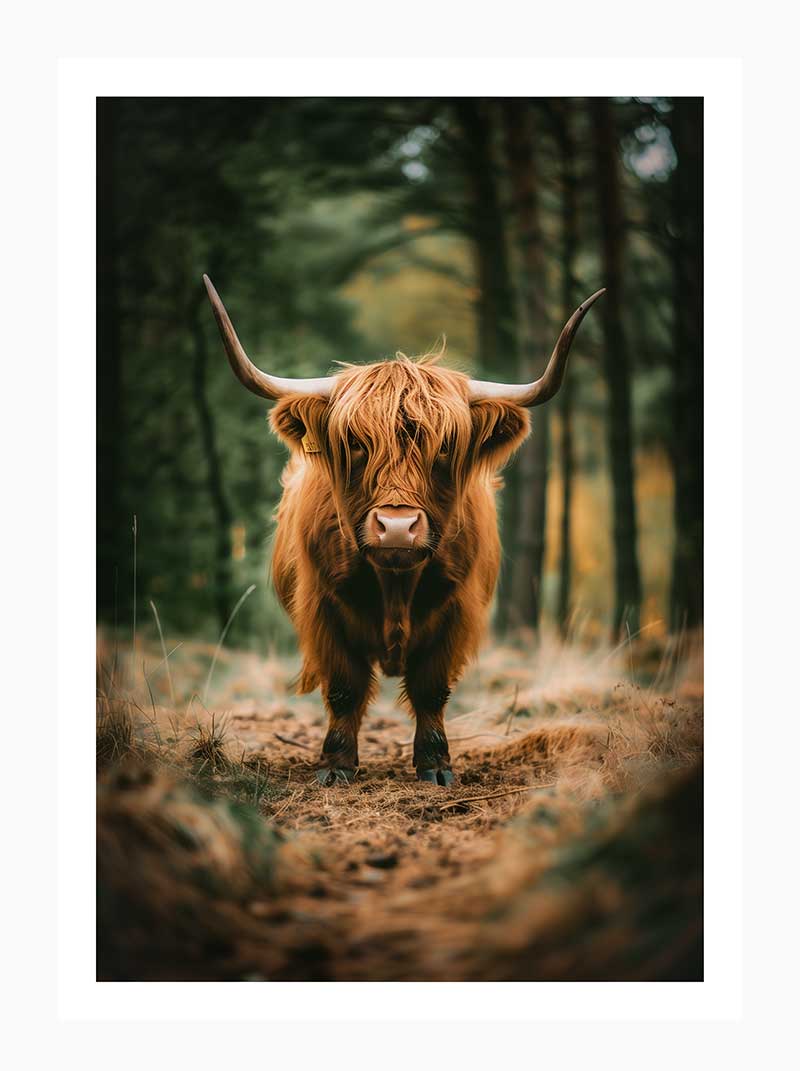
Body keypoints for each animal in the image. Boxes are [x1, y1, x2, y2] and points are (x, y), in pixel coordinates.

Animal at [204, 275, 603, 786]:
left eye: (446, 446)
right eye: (355, 442)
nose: (397, 527)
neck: (395, 585)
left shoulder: (457, 609)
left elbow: (431, 689)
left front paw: (435, 765)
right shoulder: (323, 609)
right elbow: (344, 687)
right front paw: (336, 766)